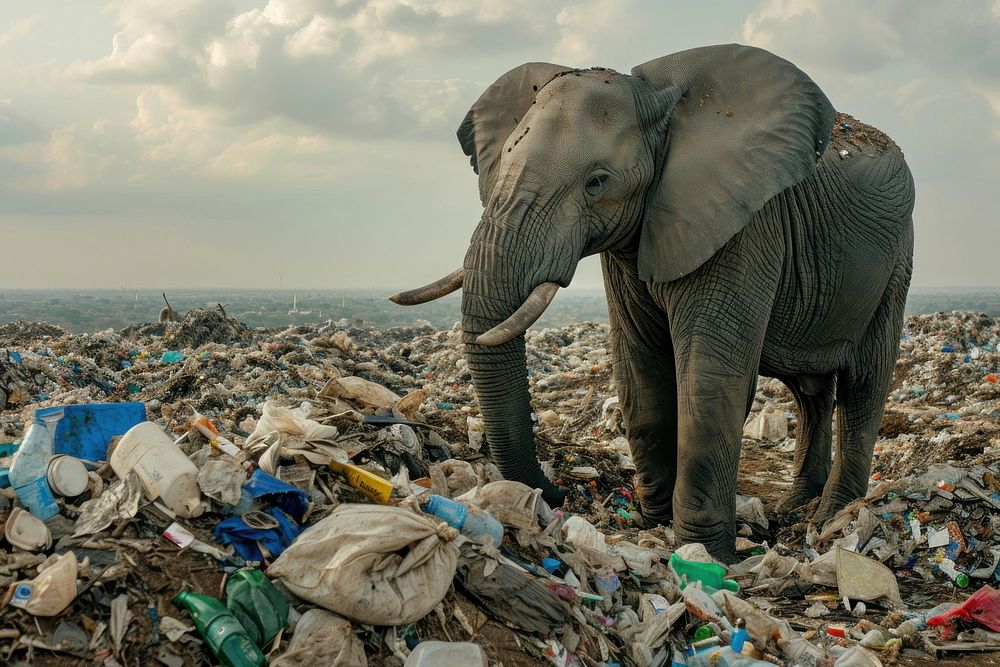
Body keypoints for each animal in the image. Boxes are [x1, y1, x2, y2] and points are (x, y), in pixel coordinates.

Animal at [391, 44, 914, 561]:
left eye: (597, 182)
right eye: (500, 163)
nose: (554, 494)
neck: (658, 102)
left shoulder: (744, 228)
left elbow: (708, 377)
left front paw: (705, 553)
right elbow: (640, 372)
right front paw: (657, 522)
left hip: (896, 261)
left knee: (863, 383)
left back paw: (832, 519)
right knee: (810, 393)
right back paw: (796, 506)